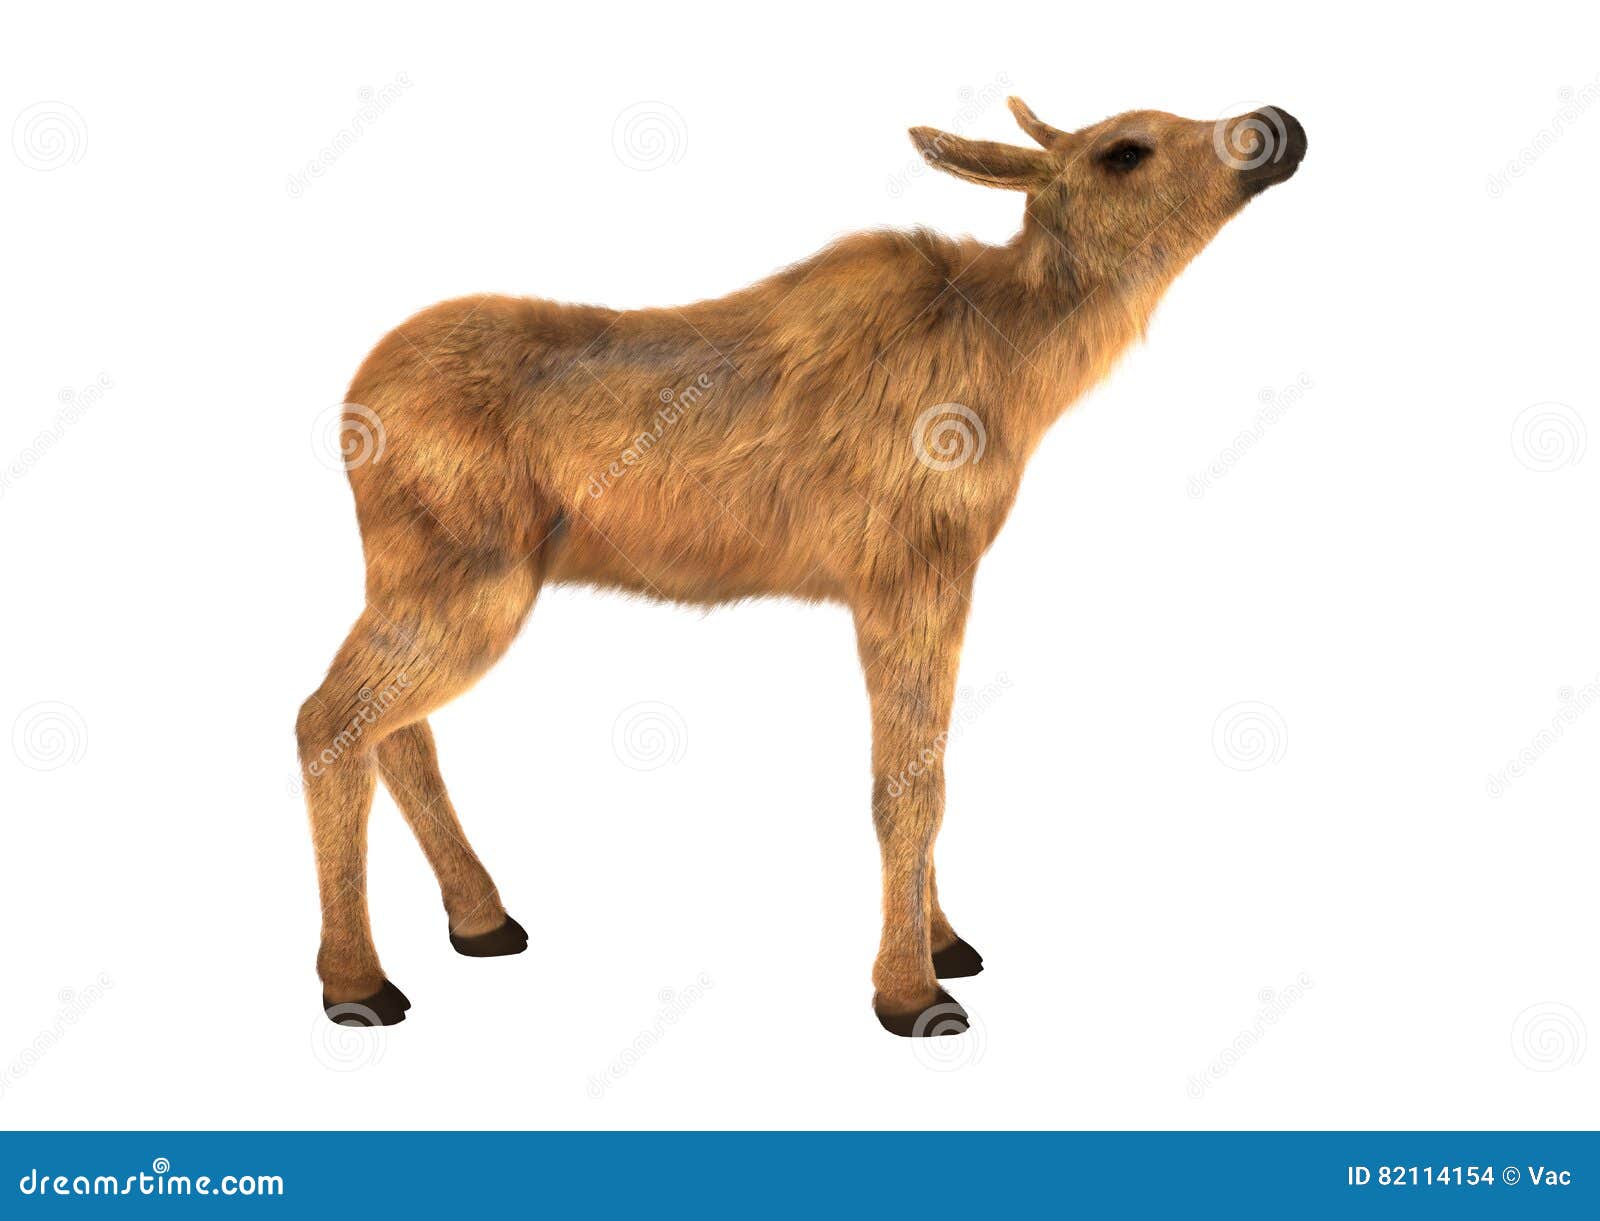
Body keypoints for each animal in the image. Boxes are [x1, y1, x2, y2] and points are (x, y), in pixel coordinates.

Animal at [297, 97, 1307, 1036]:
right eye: (1124, 149)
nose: (1275, 122)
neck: (1022, 367)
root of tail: (351, 410)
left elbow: (924, 772)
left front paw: (942, 941)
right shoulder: (907, 568)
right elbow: (909, 785)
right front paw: (909, 987)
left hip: (424, 577)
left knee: (397, 729)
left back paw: (480, 917)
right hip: (469, 575)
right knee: (330, 720)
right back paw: (357, 979)